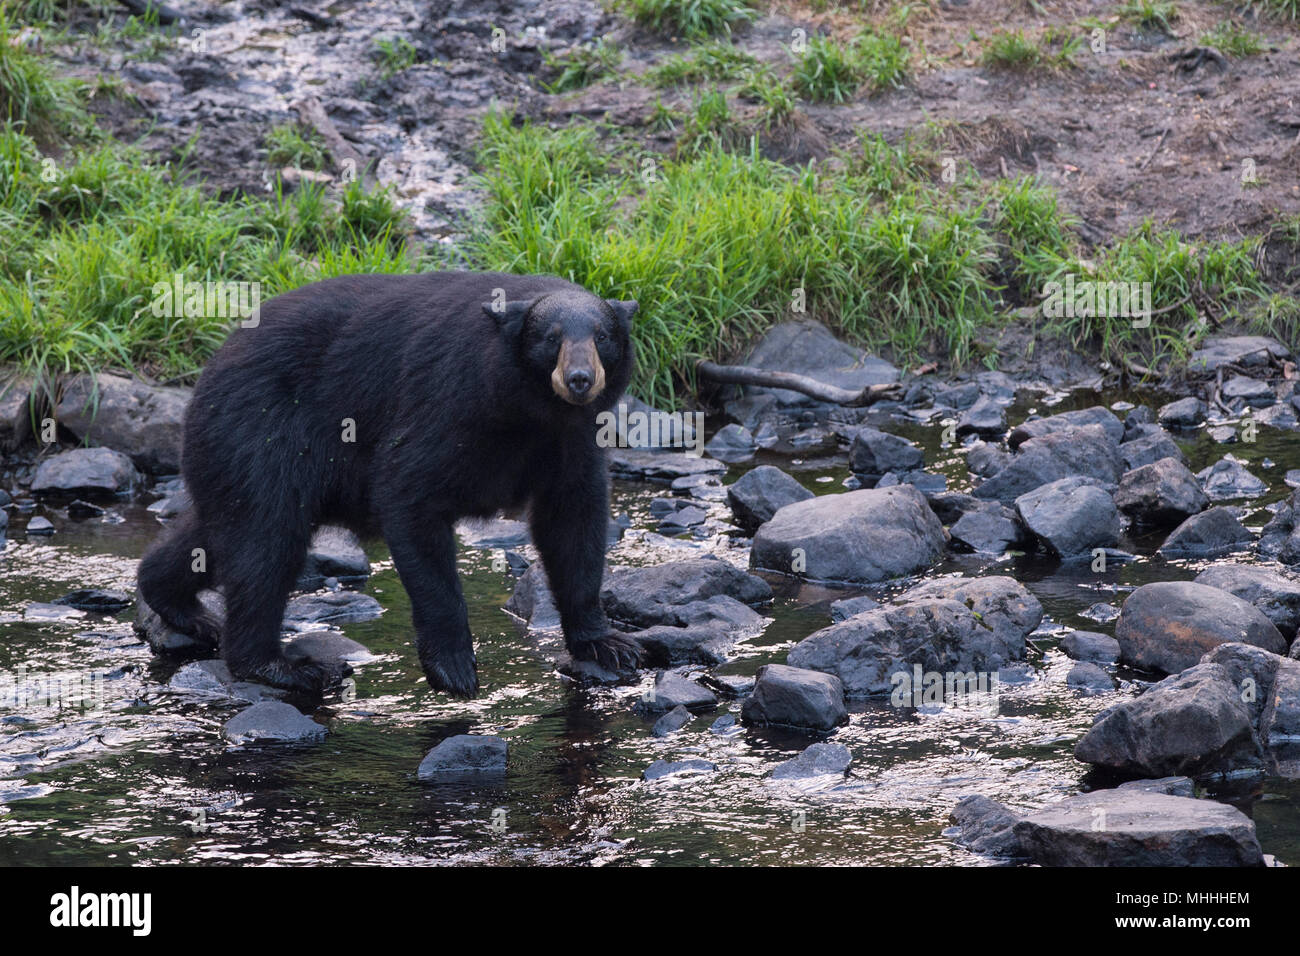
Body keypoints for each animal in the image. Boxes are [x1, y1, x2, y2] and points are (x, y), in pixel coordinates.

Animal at [136, 271, 643, 696]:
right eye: (550, 337)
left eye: (601, 337)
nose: (580, 379)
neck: (532, 411)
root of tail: (209, 368)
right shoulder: (451, 403)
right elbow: (408, 491)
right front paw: (453, 666)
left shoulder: (572, 440)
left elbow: (573, 522)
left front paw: (609, 643)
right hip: (261, 433)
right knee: (265, 542)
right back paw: (284, 667)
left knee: (218, 531)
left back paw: (179, 604)